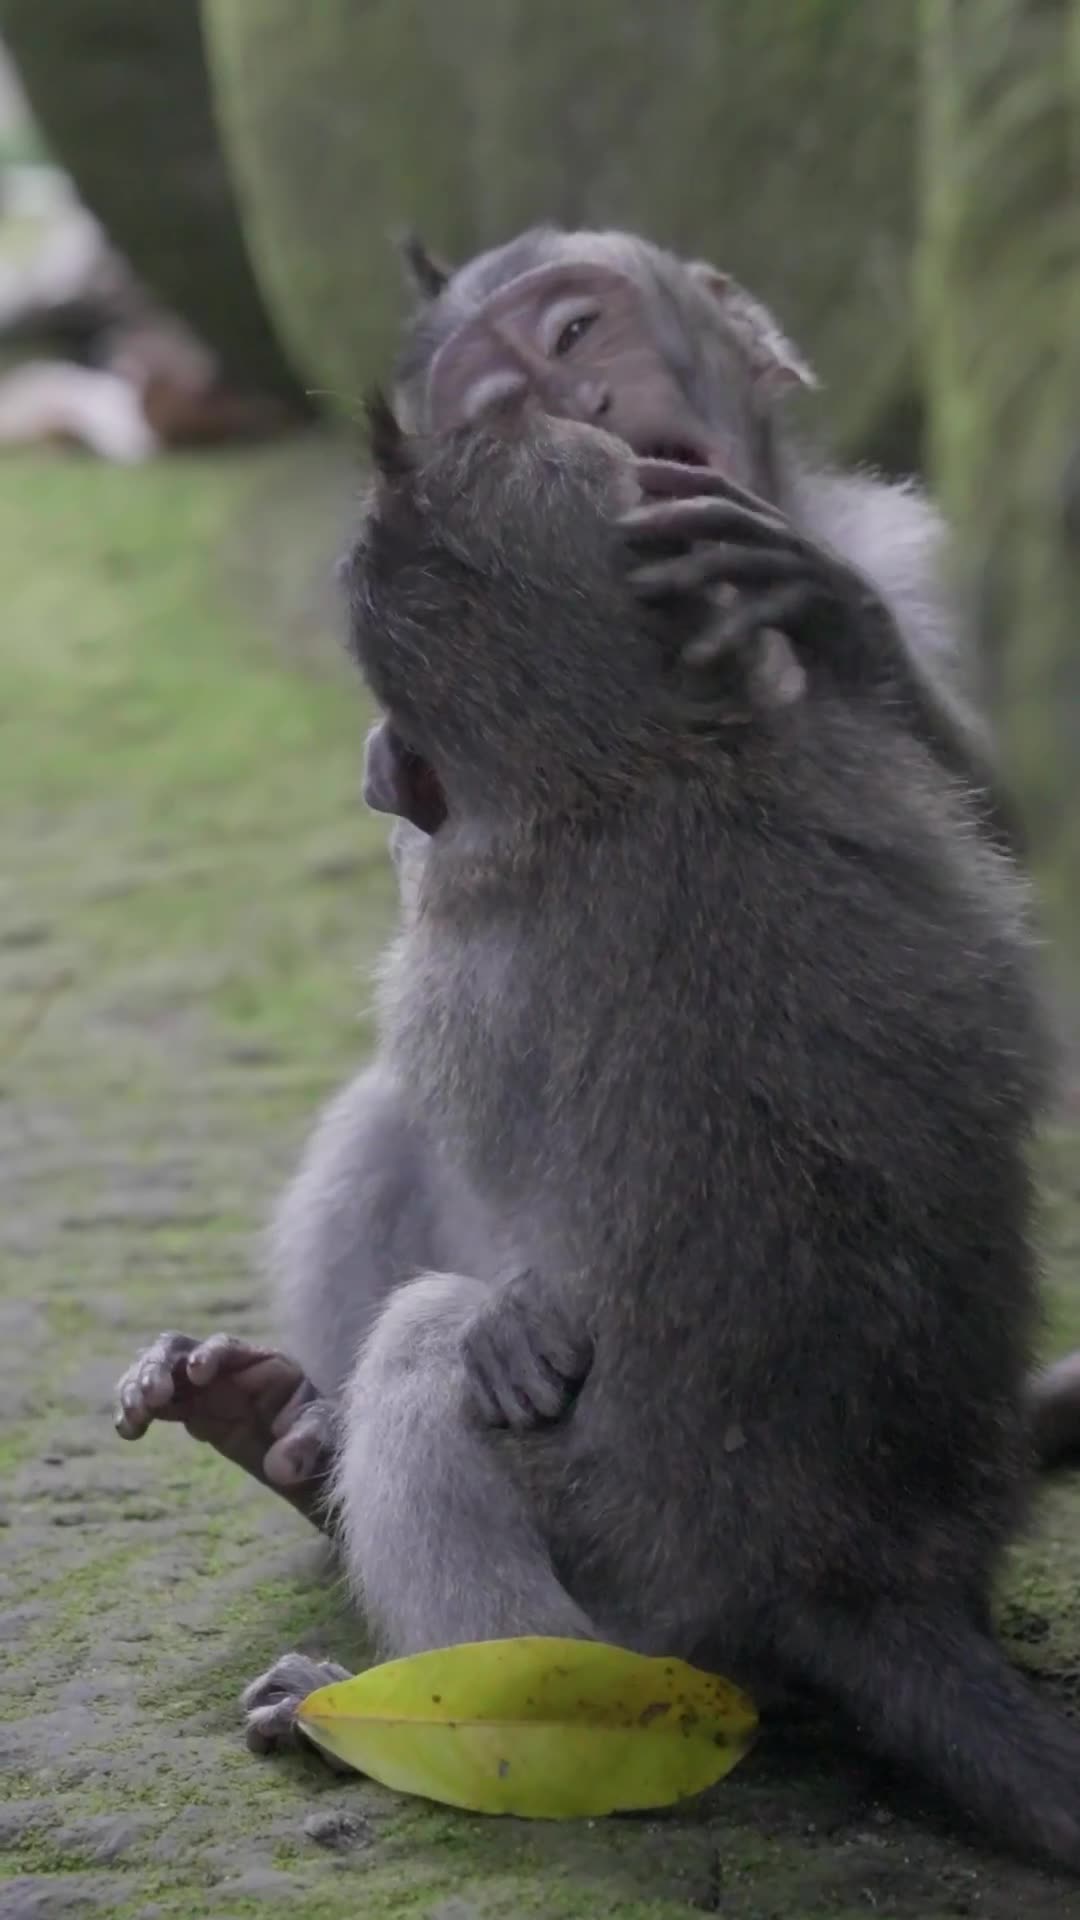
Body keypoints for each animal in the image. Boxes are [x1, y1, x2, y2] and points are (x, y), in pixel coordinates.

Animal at [115, 223, 1080, 1511]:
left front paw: (826, 611)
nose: (582, 402)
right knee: (392, 1113)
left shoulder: (910, 552)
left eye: (577, 333)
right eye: (498, 394)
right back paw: (289, 1431)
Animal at [226, 387, 1080, 1872]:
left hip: (643, 1571)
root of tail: (866, 1571)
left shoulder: (455, 959)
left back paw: (446, 1706)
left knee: (426, 1334)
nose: (379, 776)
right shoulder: (860, 769)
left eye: (399, 732)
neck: (656, 758)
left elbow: (476, 1164)